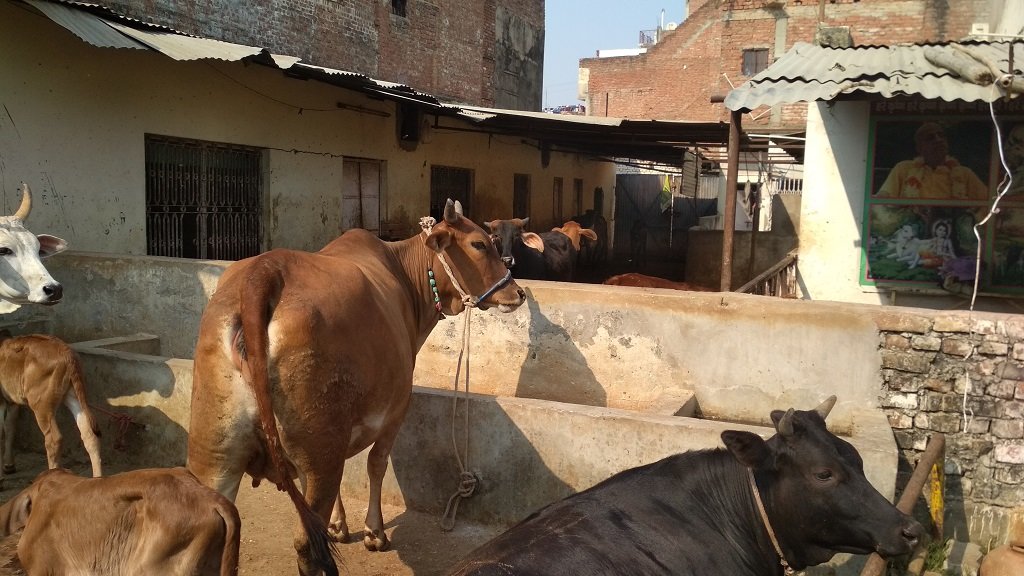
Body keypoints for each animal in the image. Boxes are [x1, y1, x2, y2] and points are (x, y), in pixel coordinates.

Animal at [0, 333, 102, 485]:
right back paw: (97, 478)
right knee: (89, 434)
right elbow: (9, 427)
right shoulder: (11, 401)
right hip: (73, 396)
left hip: (41, 405)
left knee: (53, 439)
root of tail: (67, 353)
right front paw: (8, 466)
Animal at [187, 199, 526, 576]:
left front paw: (338, 525)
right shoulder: (395, 409)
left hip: (216, 456)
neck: (405, 274)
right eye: (480, 244)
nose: (518, 292)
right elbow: (375, 465)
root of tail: (263, 272)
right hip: (317, 446)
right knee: (306, 543)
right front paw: (374, 532)